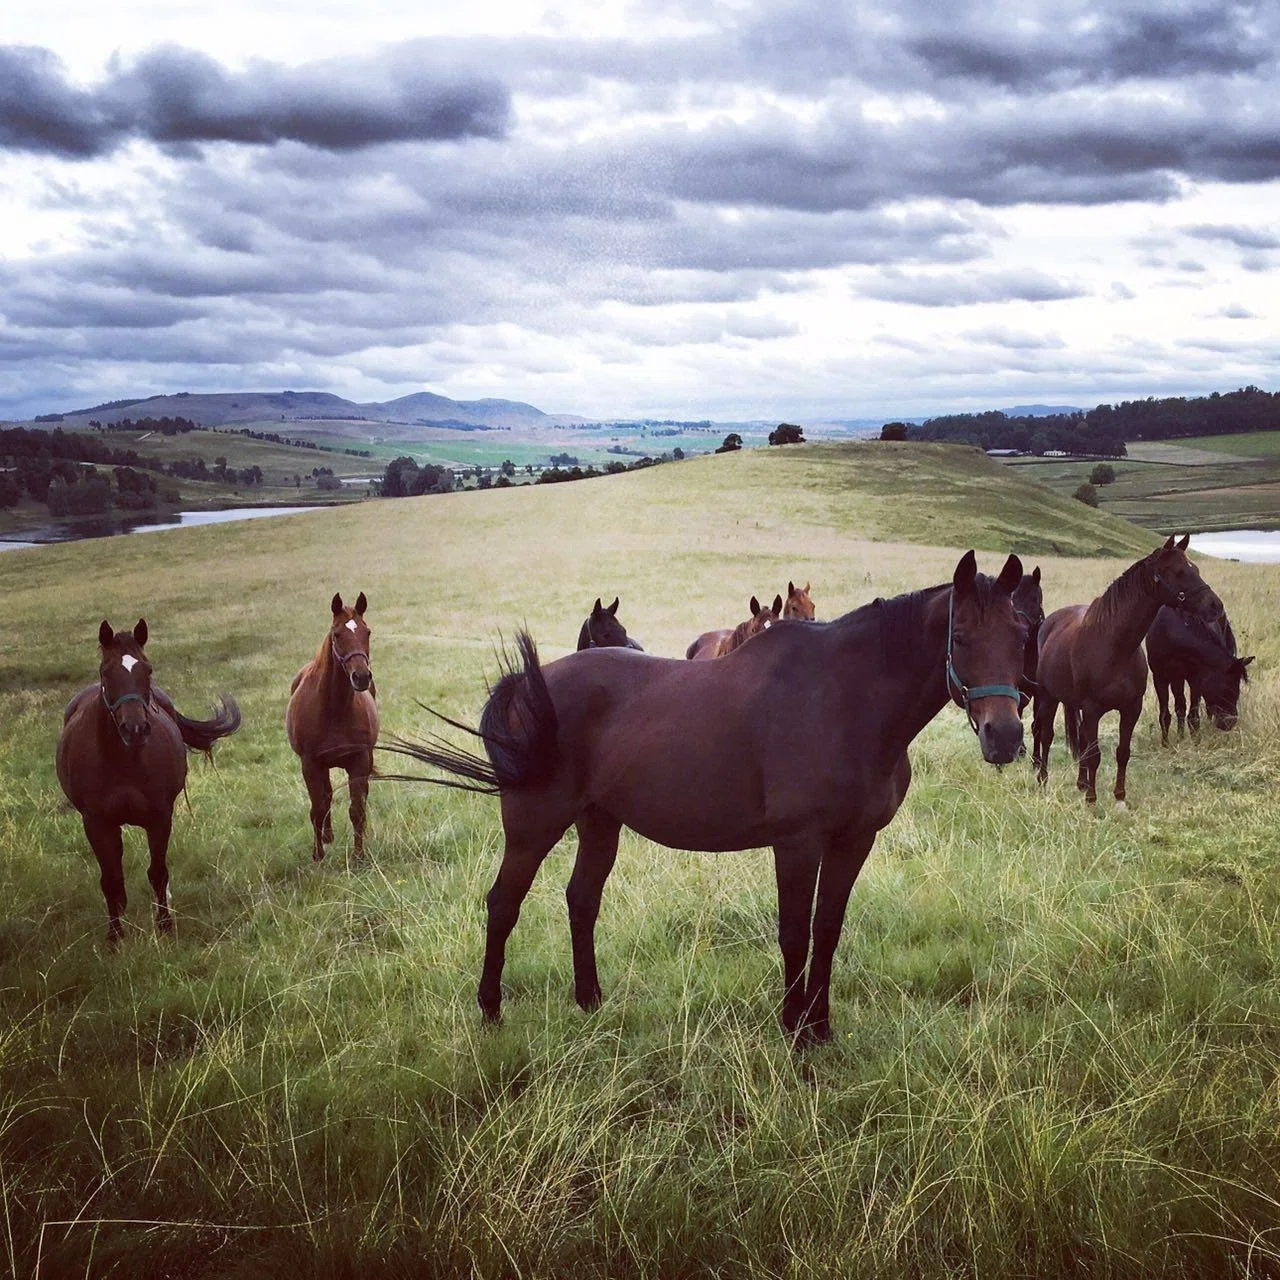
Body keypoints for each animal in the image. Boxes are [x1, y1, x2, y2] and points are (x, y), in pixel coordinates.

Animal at [56, 618, 240, 946]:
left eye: (148, 670)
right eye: (106, 672)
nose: (135, 729)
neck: (123, 762)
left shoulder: (159, 817)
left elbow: (158, 872)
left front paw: (165, 926)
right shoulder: (97, 824)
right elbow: (111, 880)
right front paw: (115, 937)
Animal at [286, 592, 379, 862]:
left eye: (367, 632)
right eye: (337, 634)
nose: (361, 677)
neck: (333, 710)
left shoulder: (360, 760)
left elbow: (357, 810)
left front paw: (359, 856)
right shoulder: (310, 763)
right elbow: (317, 809)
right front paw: (318, 854)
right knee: (324, 798)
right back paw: (327, 837)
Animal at [383, 551, 1026, 1045]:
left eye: (1021, 635)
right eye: (960, 637)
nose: (1005, 735)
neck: (844, 698)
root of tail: (530, 686)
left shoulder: (854, 841)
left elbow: (827, 931)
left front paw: (821, 1029)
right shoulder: (797, 844)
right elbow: (794, 933)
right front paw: (795, 1032)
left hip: (600, 821)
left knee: (581, 899)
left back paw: (590, 1002)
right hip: (533, 825)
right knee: (503, 904)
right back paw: (491, 1011)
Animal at [1031, 535, 1219, 808]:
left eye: (1195, 569)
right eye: (1179, 572)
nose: (1216, 606)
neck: (1114, 647)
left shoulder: (1131, 708)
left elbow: (1122, 752)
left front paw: (1119, 797)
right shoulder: (1092, 709)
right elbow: (1094, 754)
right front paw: (1092, 800)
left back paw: (1081, 782)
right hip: (1048, 697)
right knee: (1046, 736)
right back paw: (1043, 780)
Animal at [1146, 605, 1253, 741]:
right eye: (1227, 688)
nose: (1230, 723)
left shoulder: (1196, 679)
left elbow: (1193, 716)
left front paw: (1196, 741)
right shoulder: (1160, 678)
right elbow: (1165, 716)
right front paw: (1168, 743)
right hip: (1176, 679)